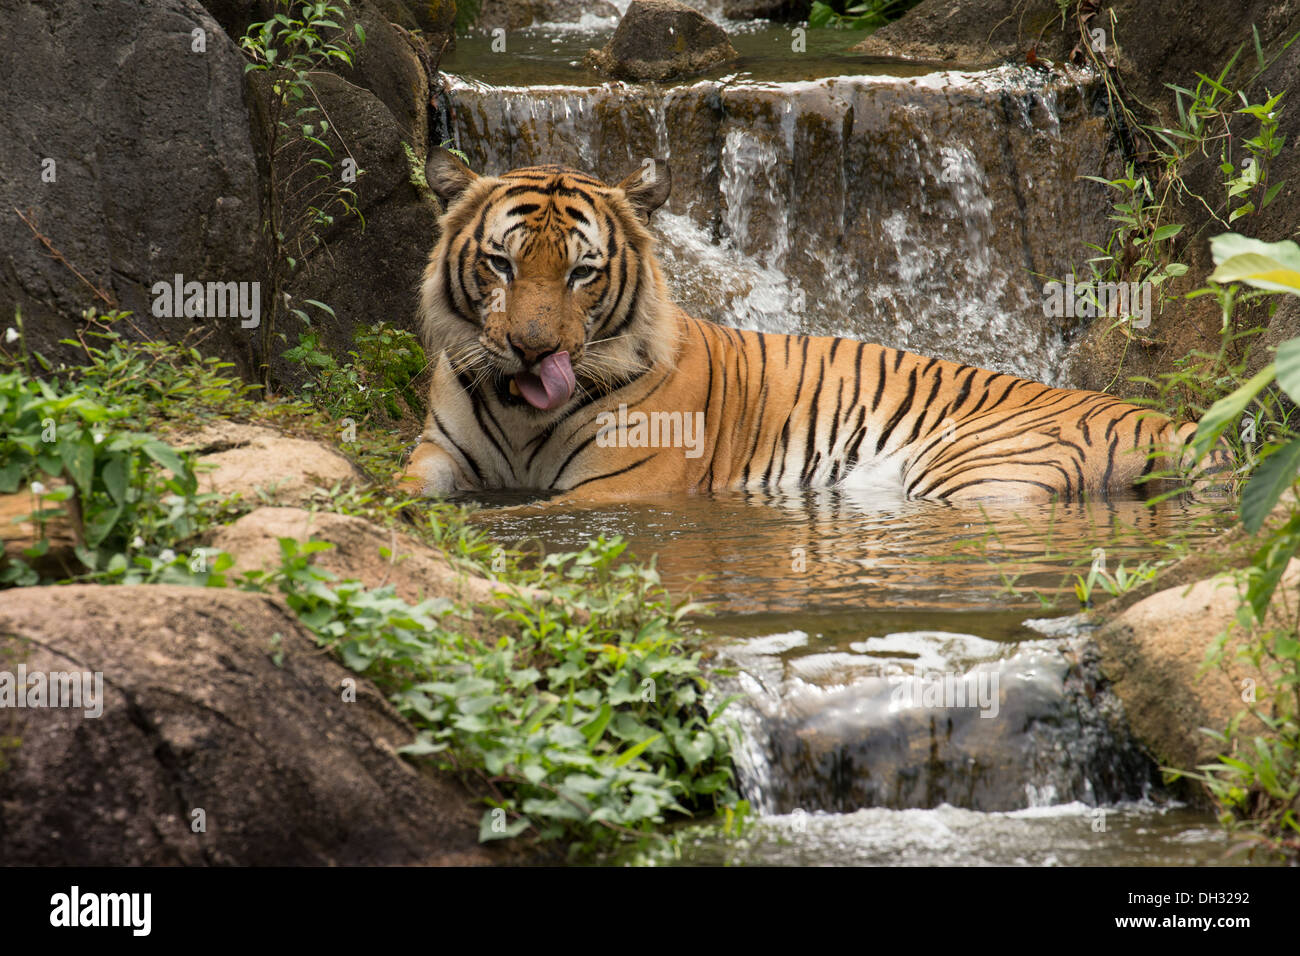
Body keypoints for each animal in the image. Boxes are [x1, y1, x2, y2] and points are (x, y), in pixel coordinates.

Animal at [399, 149, 1224, 502]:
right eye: (502, 265)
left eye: (582, 273)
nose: (533, 351)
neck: (519, 412)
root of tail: (1172, 420)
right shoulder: (438, 453)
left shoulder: (624, 485)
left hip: (975, 472)